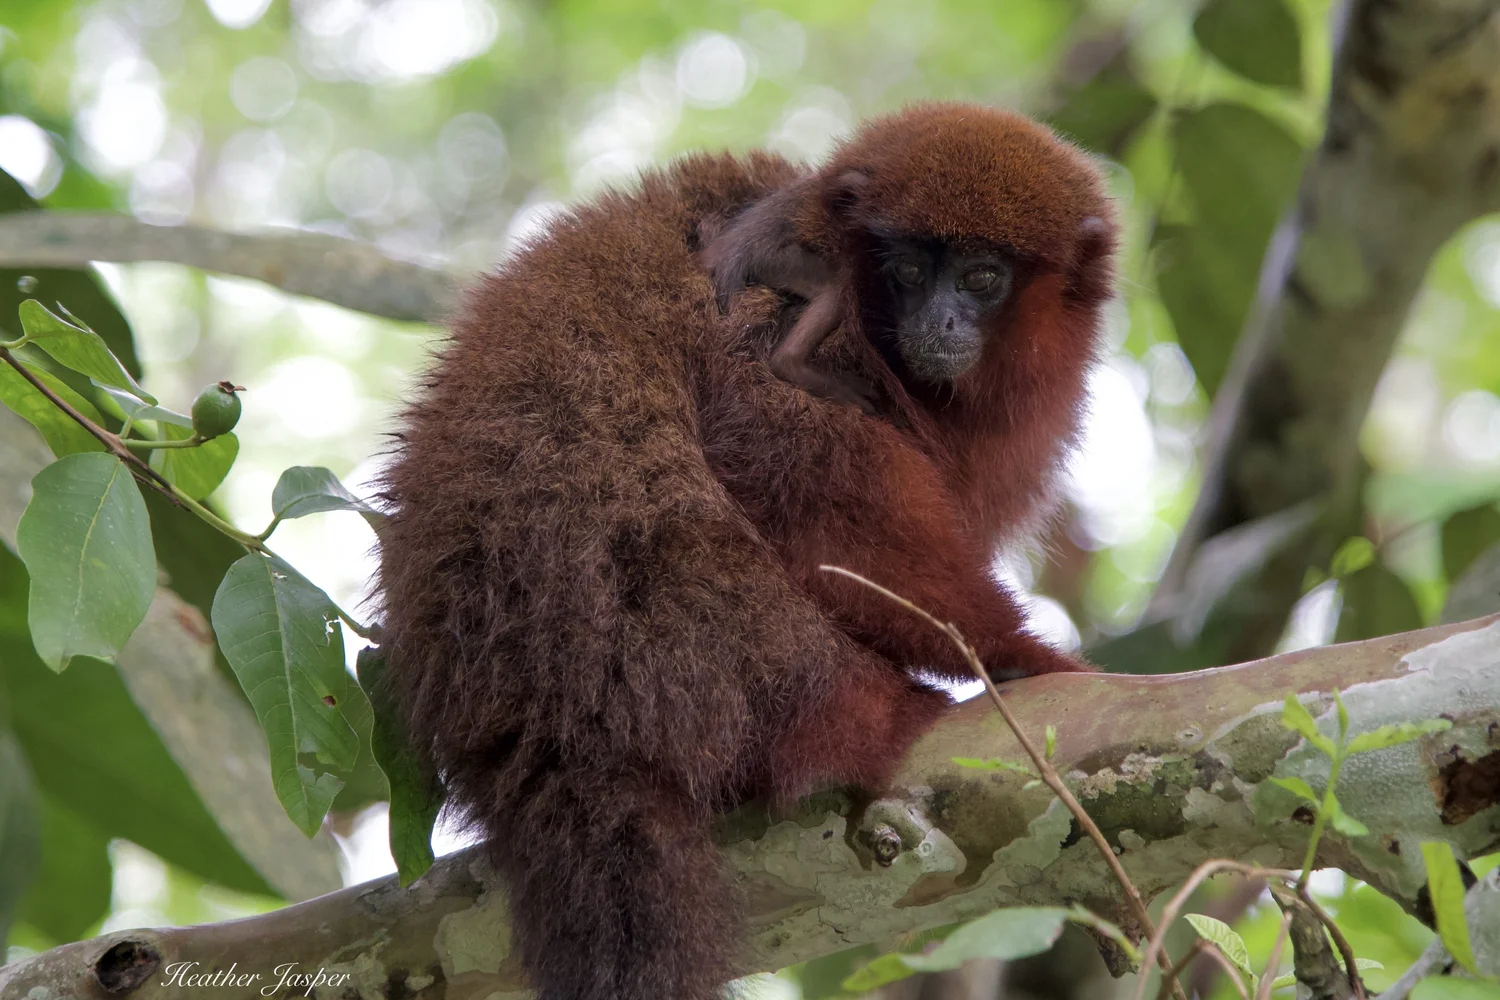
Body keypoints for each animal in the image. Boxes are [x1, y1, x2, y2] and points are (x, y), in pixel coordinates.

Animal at [375, 102, 1117, 1000]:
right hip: (685, 652)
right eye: (907, 271)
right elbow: (822, 515)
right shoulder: (786, 322)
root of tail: (547, 730)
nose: (938, 321)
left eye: (980, 279)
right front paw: (1014, 654)